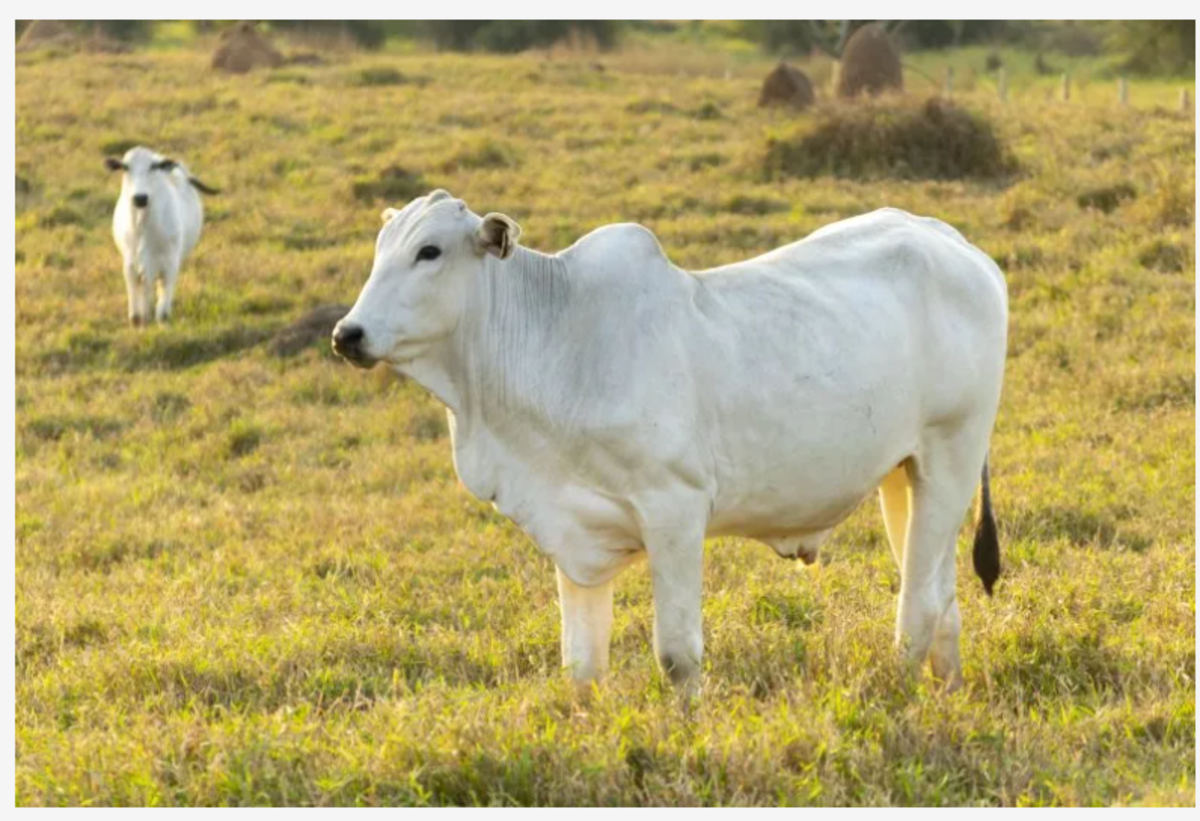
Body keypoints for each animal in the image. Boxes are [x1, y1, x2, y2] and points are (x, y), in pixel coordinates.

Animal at [105, 146, 218, 325]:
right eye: (125, 167)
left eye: (153, 166)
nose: (140, 198)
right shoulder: (130, 263)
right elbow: (136, 314)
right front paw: (140, 319)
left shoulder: (170, 263)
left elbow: (163, 312)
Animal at [332, 190, 1007, 694]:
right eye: (381, 251)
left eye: (429, 251)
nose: (347, 333)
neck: (556, 338)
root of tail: (954, 243)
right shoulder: (571, 530)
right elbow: (582, 667)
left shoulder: (675, 511)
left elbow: (678, 656)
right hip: (903, 475)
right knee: (942, 597)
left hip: (952, 454)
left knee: (918, 609)